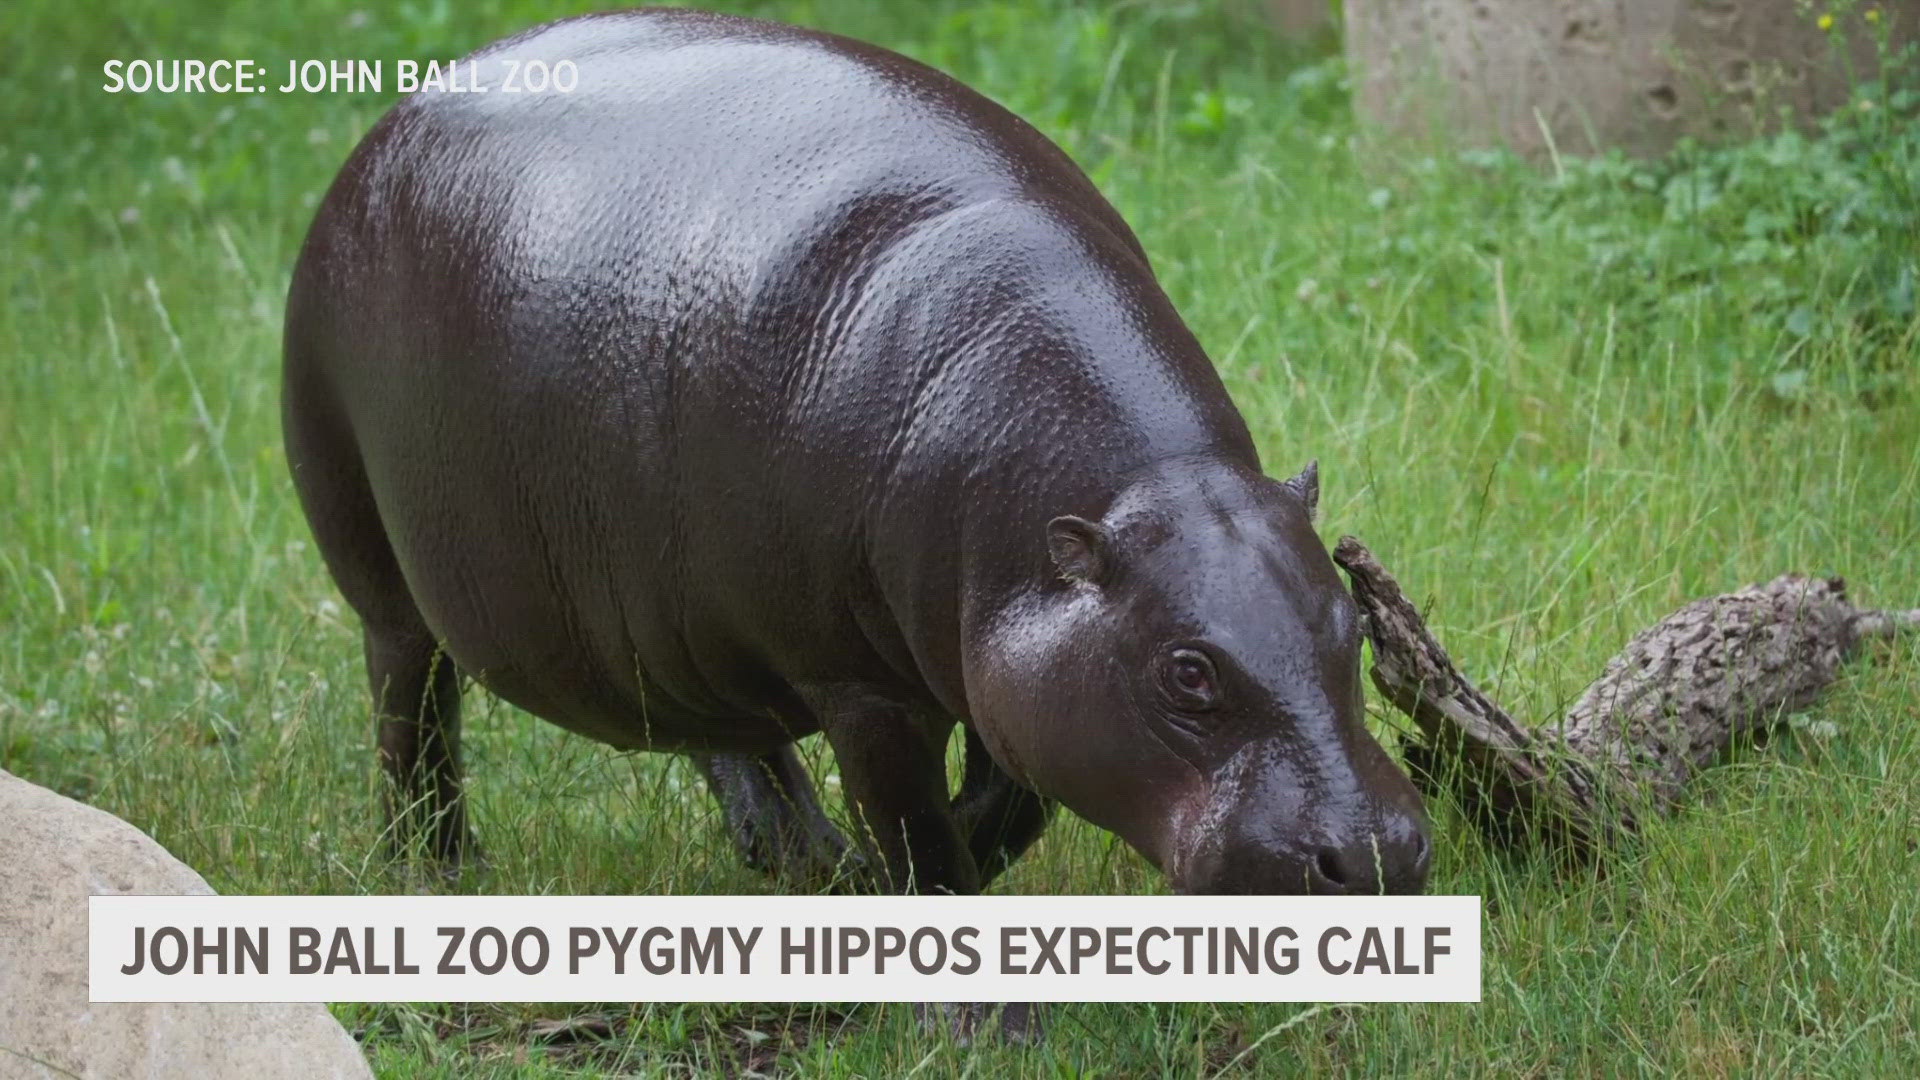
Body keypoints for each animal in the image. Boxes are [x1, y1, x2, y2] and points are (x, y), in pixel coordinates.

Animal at [282, 7, 1431, 899]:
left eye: (1352, 625)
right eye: (1188, 672)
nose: (1375, 854)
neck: (1133, 487)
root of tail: (396, 114)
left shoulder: (1003, 637)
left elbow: (1007, 802)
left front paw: (891, 869)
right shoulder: (862, 682)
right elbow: (921, 835)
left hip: (671, 602)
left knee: (725, 732)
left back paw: (805, 857)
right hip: (376, 558)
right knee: (411, 708)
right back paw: (439, 870)